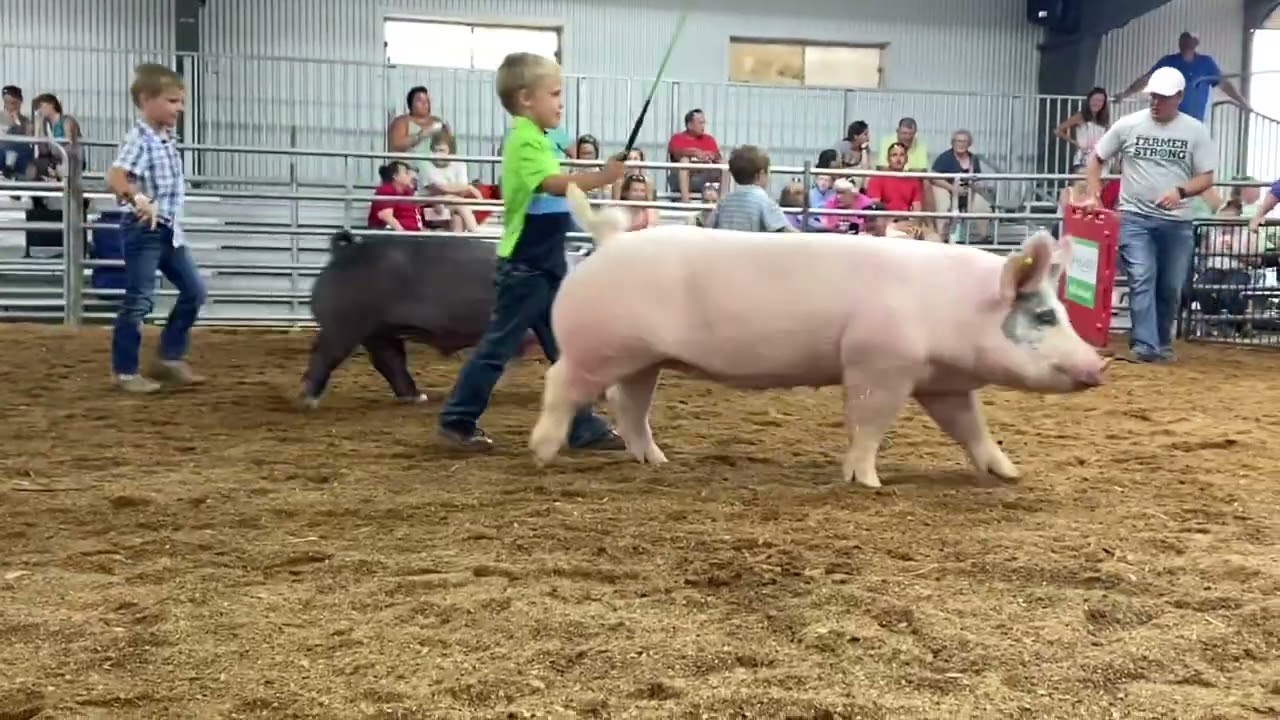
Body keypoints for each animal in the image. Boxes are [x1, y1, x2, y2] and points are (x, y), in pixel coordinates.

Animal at [300, 231, 538, 408]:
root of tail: (345, 251)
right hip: (346, 325)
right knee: (325, 355)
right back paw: (310, 401)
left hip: (379, 331)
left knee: (389, 360)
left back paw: (417, 398)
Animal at [527, 184, 1108, 487]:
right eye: (1045, 316)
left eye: (1060, 311)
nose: (1099, 366)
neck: (953, 309)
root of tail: (609, 240)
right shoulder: (878, 363)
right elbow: (870, 423)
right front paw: (869, 483)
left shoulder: (940, 382)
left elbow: (970, 427)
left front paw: (1009, 473)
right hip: (598, 346)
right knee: (562, 383)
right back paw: (543, 453)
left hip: (641, 358)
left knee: (629, 404)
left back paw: (657, 461)